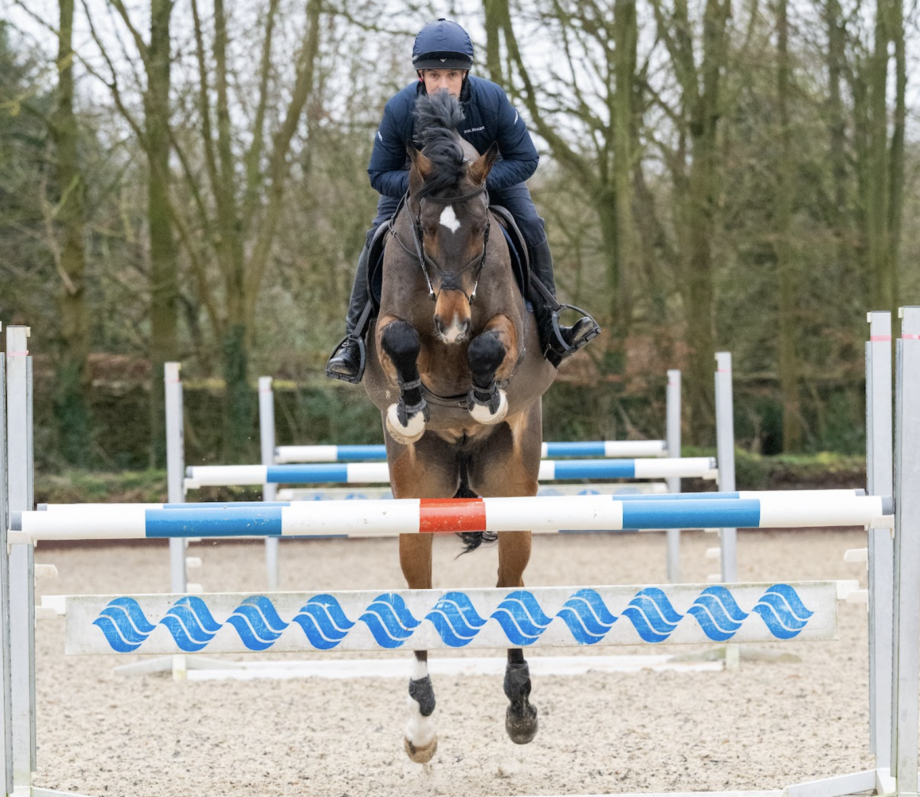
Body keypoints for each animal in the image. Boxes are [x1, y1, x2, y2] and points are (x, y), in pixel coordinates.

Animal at [362, 91, 557, 763]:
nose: (450, 320)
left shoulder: (504, 324)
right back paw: (421, 726)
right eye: (424, 228)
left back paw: (520, 708)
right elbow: (398, 338)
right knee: (418, 595)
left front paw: (481, 396)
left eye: (479, 231)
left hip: (513, 492)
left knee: (511, 587)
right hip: (415, 502)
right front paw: (412, 406)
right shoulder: (392, 321)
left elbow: (489, 346)